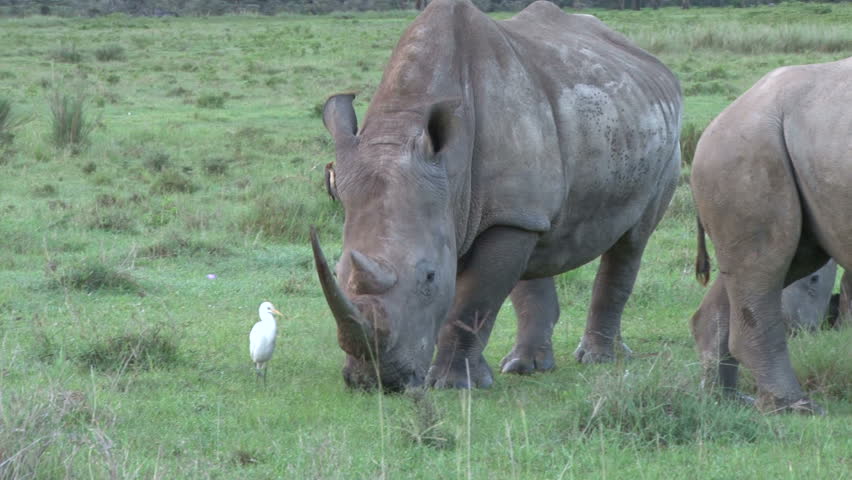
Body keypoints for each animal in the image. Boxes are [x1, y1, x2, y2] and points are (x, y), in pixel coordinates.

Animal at [311, 0, 682, 391]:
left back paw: (597, 359)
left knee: (632, 240)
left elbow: (475, 299)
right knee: (540, 245)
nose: (376, 382)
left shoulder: (503, 216)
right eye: (336, 273)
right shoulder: (479, 209)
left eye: (429, 277)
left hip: (664, 147)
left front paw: (452, 384)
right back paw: (526, 365)